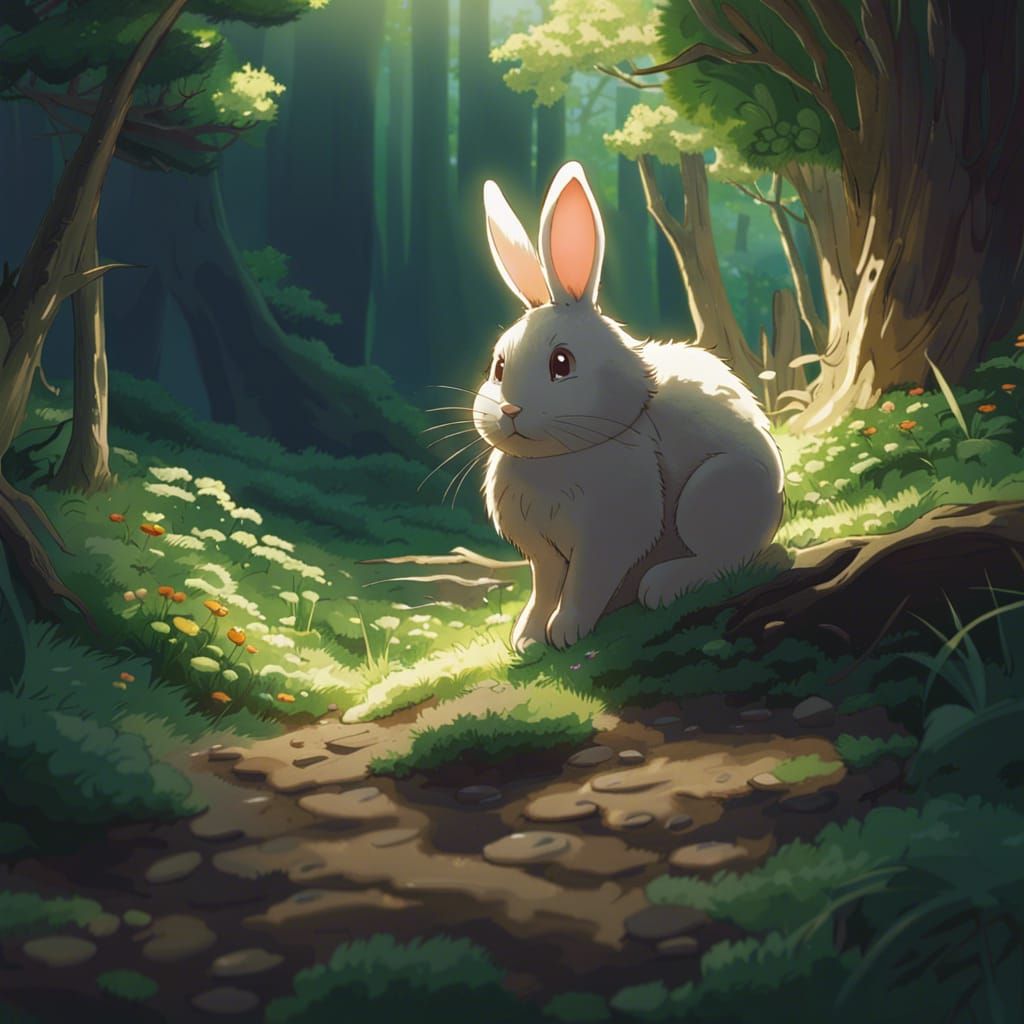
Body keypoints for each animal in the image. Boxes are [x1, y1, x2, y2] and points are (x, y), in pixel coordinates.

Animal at [473, 161, 784, 651]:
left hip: (712, 493)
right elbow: (545, 586)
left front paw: (566, 631)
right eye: (499, 367)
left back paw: (661, 586)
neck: (558, 457)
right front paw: (528, 638)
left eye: (561, 363)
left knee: (726, 557)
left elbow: (584, 582)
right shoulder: (543, 552)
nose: (510, 412)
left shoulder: (610, 535)